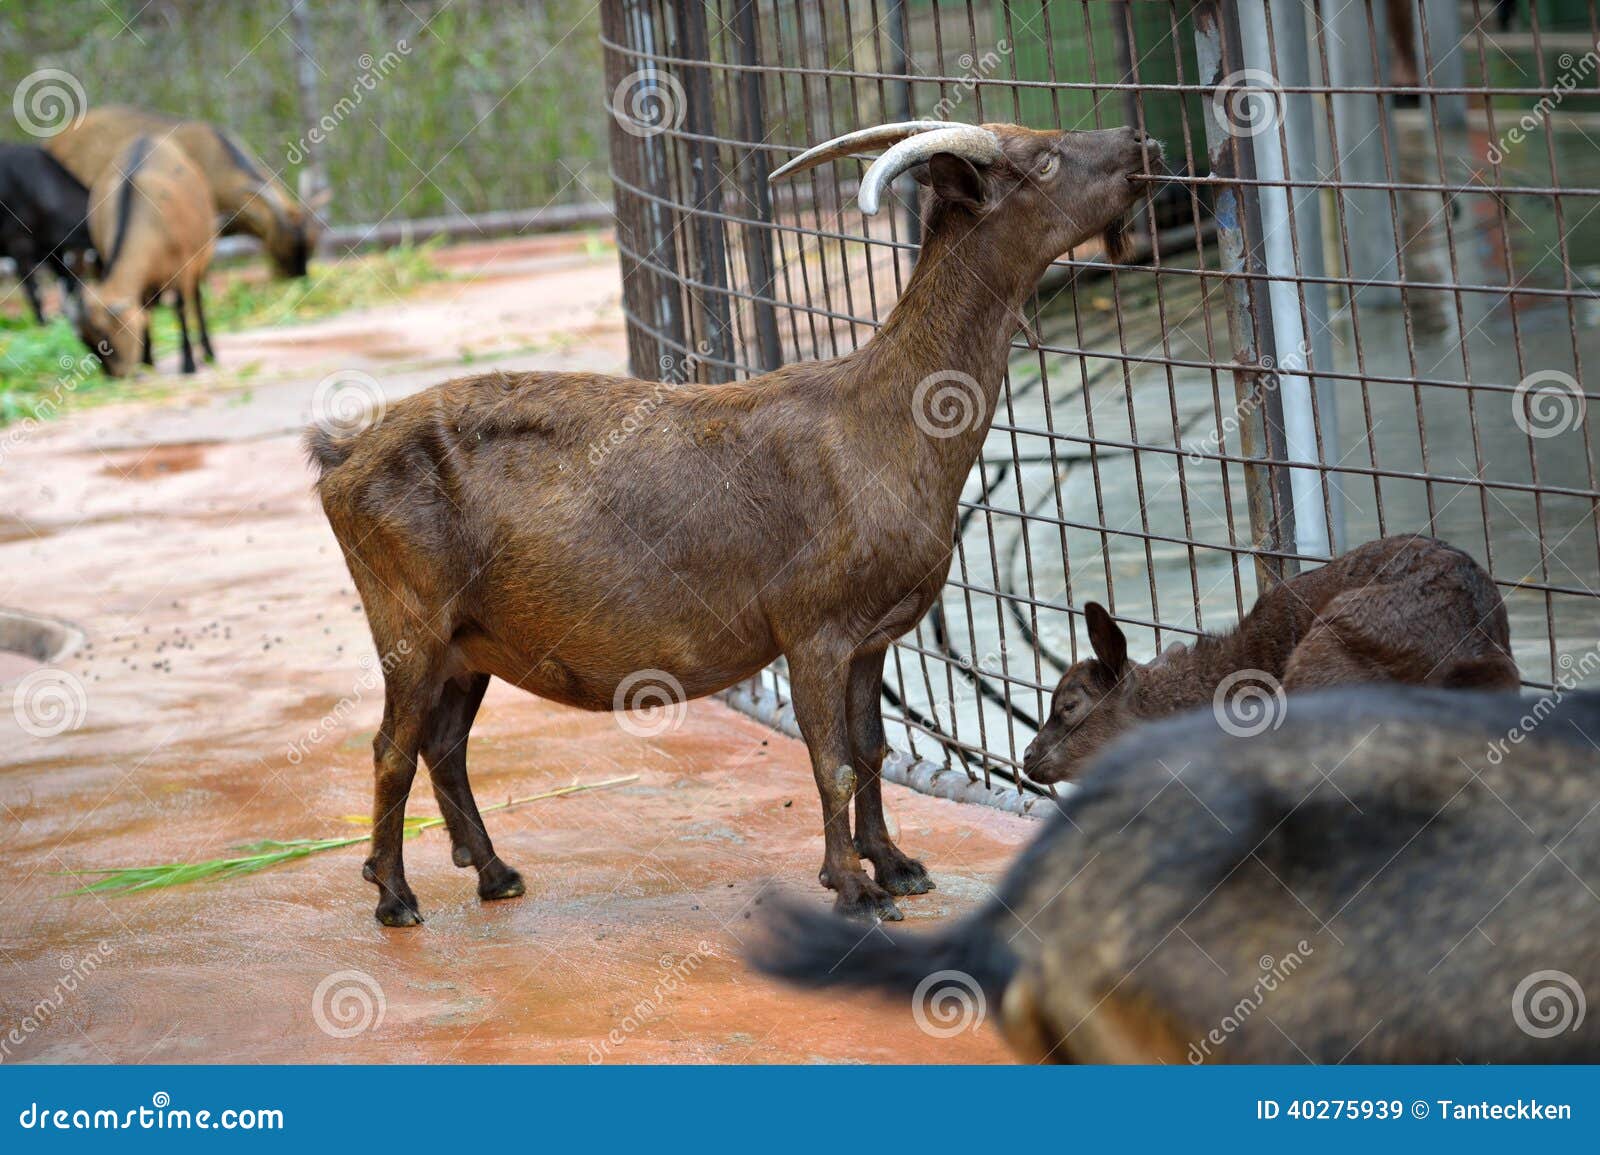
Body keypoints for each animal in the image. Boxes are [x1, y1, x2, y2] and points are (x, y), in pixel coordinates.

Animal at [78, 136, 216, 377]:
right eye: (85, 342)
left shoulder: (183, 266)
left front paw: (188, 363)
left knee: (197, 299)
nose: (114, 377)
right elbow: (144, 311)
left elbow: (180, 307)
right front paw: (148, 361)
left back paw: (208, 352)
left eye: (106, 339)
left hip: (203, 254)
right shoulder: (143, 278)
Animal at [307, 120, 1160, 926]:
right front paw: (854, 888)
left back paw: (494, 872)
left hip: (468, 641)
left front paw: (897, 866)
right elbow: (831, 762)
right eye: (1043, 160)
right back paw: (395, 896)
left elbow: (874, 750)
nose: (1139, 141)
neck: (887, 416)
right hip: (410, 623)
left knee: (445, 745)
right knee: (392, 748)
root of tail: (343, 454)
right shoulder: (813, 628)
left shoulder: (873, 637)